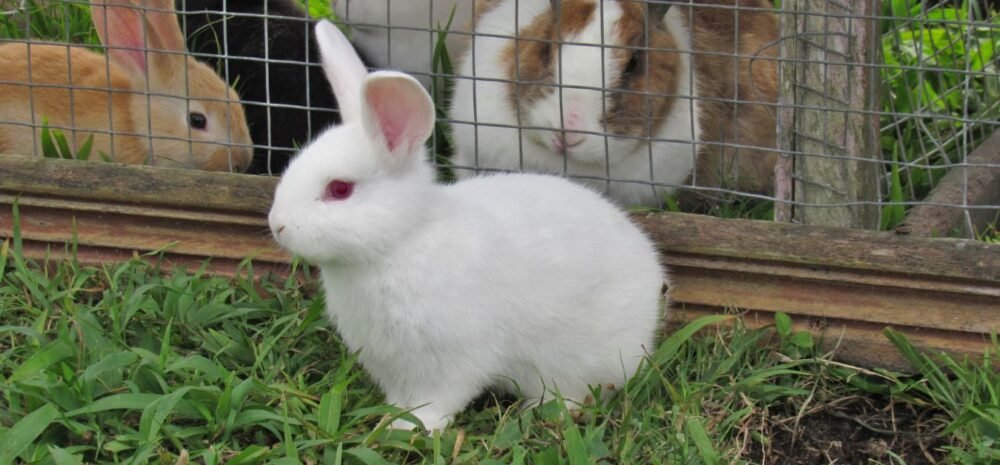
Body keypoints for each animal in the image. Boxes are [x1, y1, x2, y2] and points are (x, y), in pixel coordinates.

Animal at [268, 19, 666, 431]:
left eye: (339, 189)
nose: (277, 225)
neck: (401, 240)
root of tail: (654, 279)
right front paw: (391, 419)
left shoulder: (451, 359)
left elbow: (439, 399)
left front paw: (412, 428)